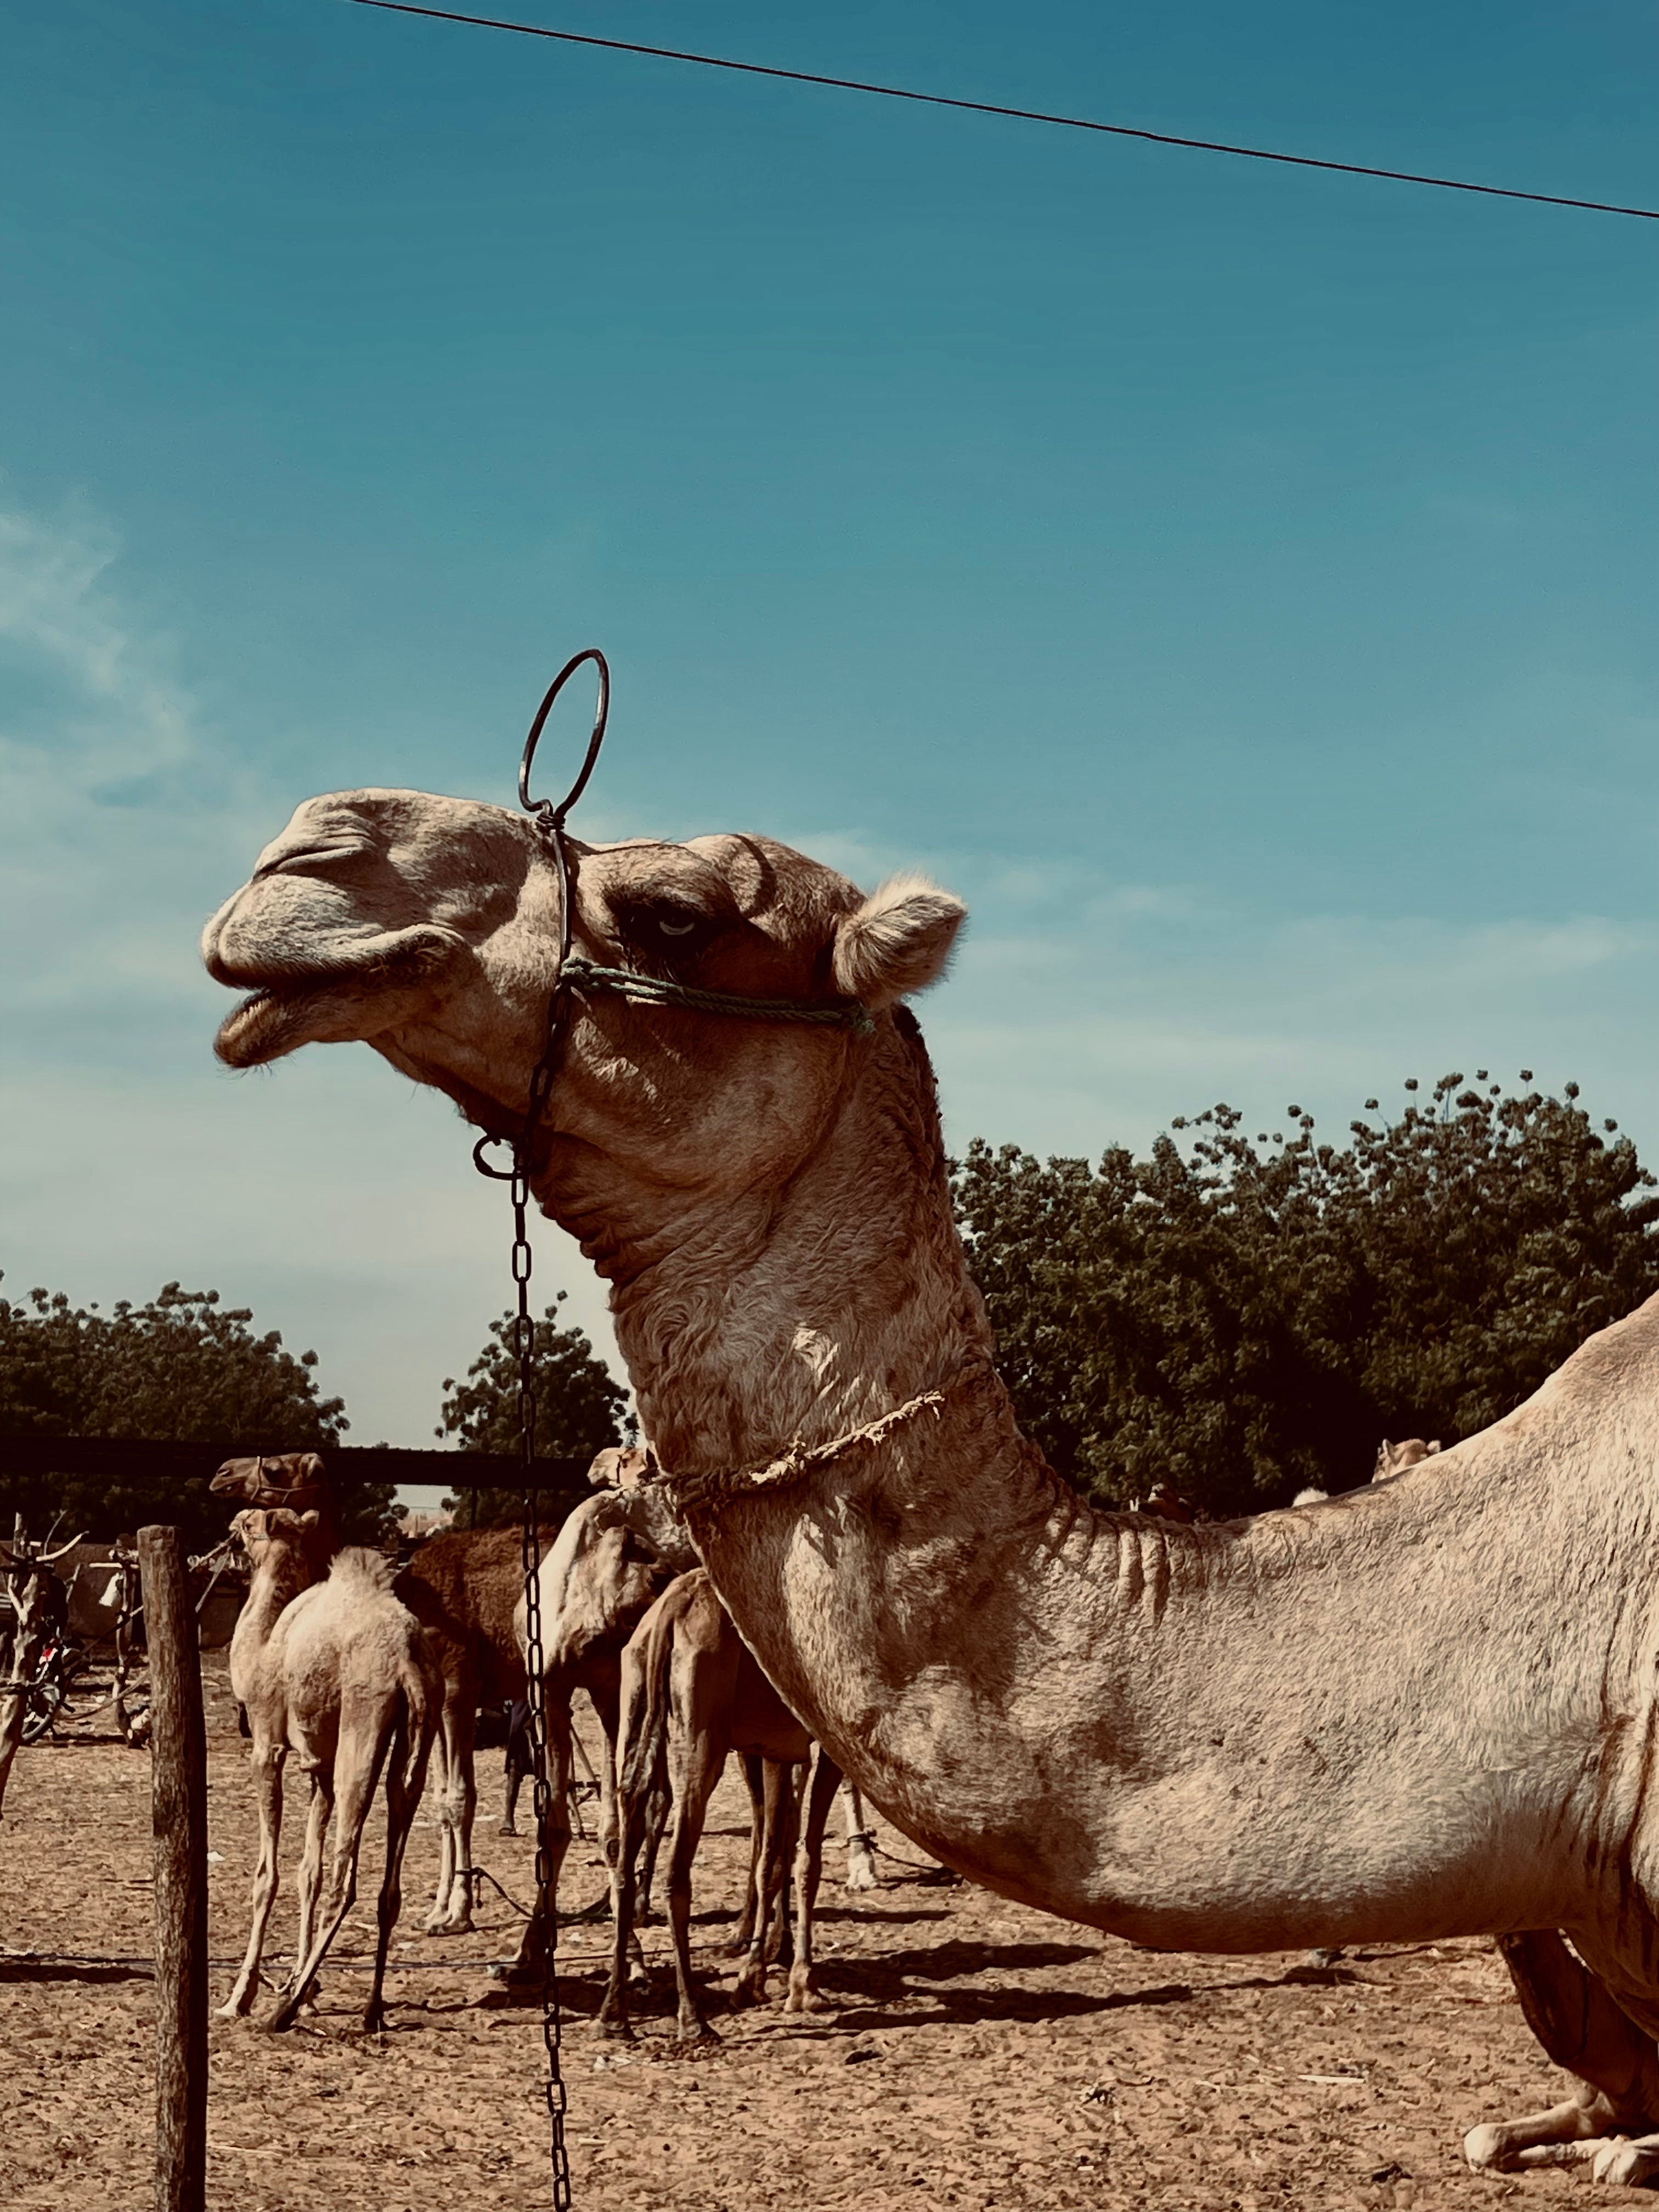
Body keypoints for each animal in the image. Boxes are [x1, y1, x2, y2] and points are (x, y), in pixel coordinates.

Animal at [219, 1505, 439, 2031]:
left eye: (250, 1525)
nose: (229, 1527)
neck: (262, 1647)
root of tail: (408, 1662)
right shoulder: (319, 1767)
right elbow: (308, 1874)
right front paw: (307, 1988)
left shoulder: (268, 1745)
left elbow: (269, 1876)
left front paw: (242, 1996)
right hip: (420, 1732)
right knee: (389, 1882)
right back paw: (371, 2008)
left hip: (364, 1722)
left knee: (346, 1881)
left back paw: (281, 2012)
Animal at [603, 1565, 844, 2041]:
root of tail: (671, 1608)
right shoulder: (822, 1745)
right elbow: (800, 1859)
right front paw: (796, 1983)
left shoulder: (775, 1748)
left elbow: (774, 1854)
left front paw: (766, 1963)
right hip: (702, 1730)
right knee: (677, 1872)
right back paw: (693, 2019)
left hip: (634, 1703)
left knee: (624, 1853)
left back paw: (614, 2014)